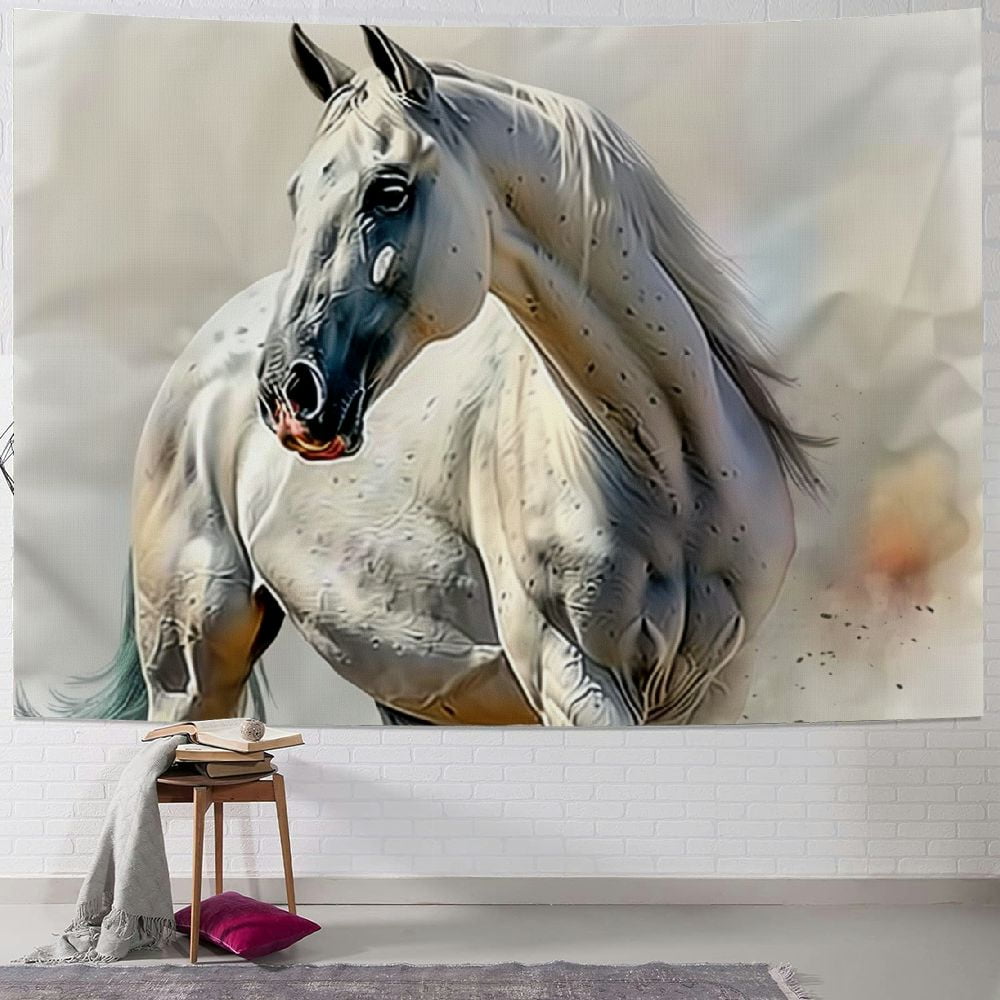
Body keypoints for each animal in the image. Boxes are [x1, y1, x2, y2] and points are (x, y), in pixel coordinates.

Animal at [48, 24, 824, 727]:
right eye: (298, 196)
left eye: (389, 190)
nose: (290, 395)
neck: (668, 476)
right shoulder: (573, 675)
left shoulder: (716, 691)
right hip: (192, 674)